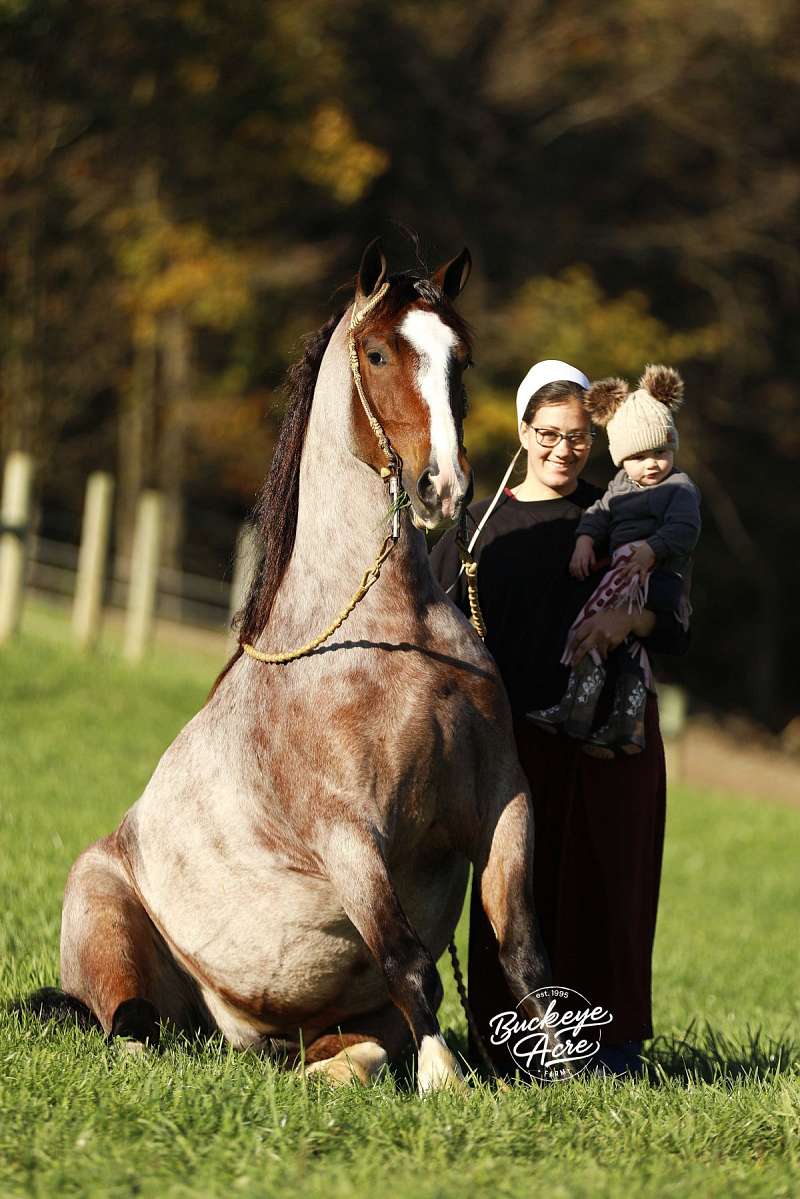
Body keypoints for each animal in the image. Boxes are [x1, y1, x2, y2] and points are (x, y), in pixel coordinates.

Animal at [37, 241, 551, 1091]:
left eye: (463, 357)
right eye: (377, 353)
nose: (443, 487)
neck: (390, 636)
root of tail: (231, 1031)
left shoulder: (504, 802)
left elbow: (522, 952)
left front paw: (569, 1069)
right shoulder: (348, 836)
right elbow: (411, 960)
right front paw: (447, 1079)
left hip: (328, 1023)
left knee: (352, 1053)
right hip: (112, 940)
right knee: (134, 1032)